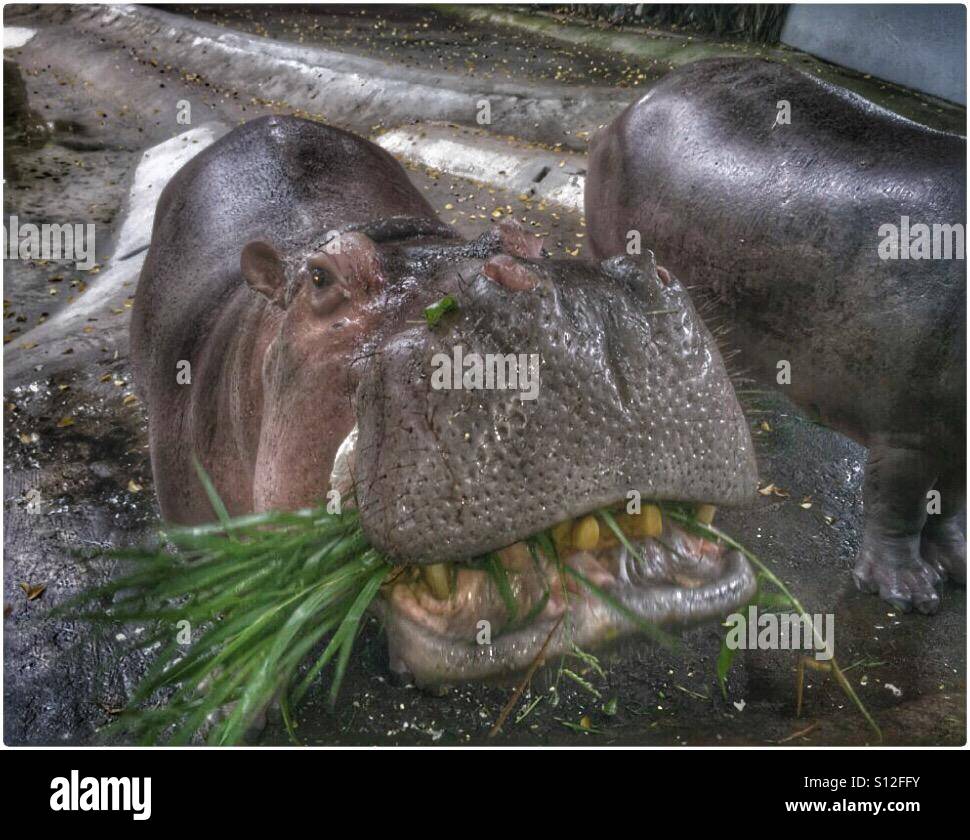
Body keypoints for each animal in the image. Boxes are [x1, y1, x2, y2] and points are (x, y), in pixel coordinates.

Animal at [585, 57, 966, 615]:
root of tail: (633, 105)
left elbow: (952, 503)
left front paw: (957, 564)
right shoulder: (906, 432)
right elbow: (902, 505)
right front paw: (909, 594)